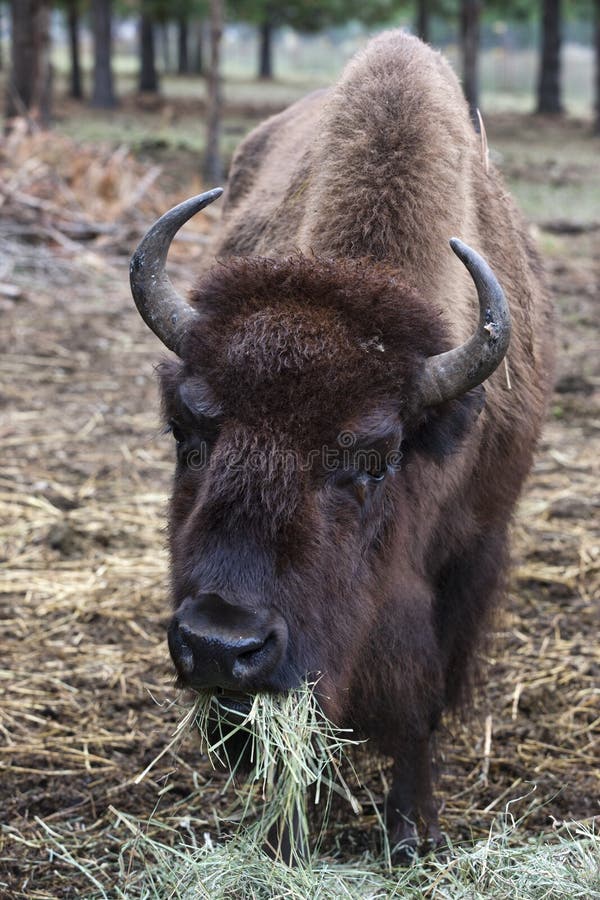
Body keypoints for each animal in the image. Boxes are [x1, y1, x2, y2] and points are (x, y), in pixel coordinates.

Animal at [130, 31, 554, 857]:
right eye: (187, 430)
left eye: (374, 458)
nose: (221, 644)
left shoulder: (469, 557)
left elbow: (423, 697)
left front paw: (412, 832)